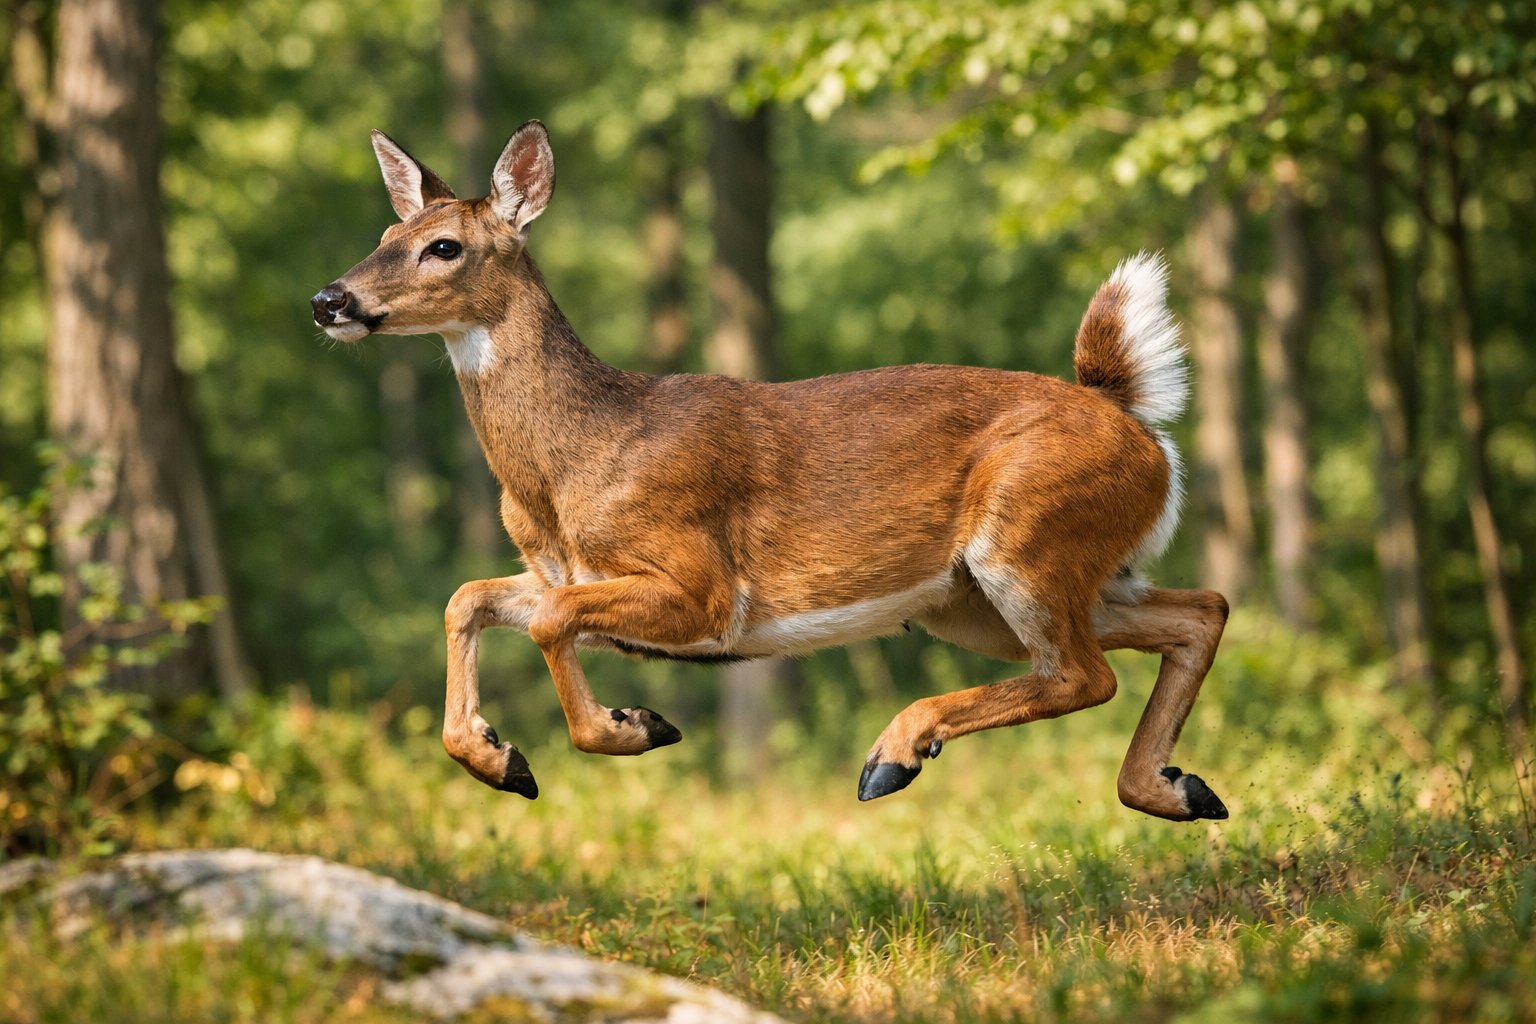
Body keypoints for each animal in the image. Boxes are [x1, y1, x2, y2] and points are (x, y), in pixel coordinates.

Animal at [311, 120, 1231, 821]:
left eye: (443, 246)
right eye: (383, 237)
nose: (329, 300)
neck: (570, 465)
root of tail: (1131, 416)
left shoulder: (705, 587)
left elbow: (545, 623)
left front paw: (628, 727)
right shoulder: (564, 573)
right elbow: (469, 598)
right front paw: (505, 758)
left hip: (1025, 536)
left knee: (1088, 672)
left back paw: (892, 755)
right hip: (986, 596)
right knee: (1195, 613)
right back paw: (1179, 791)